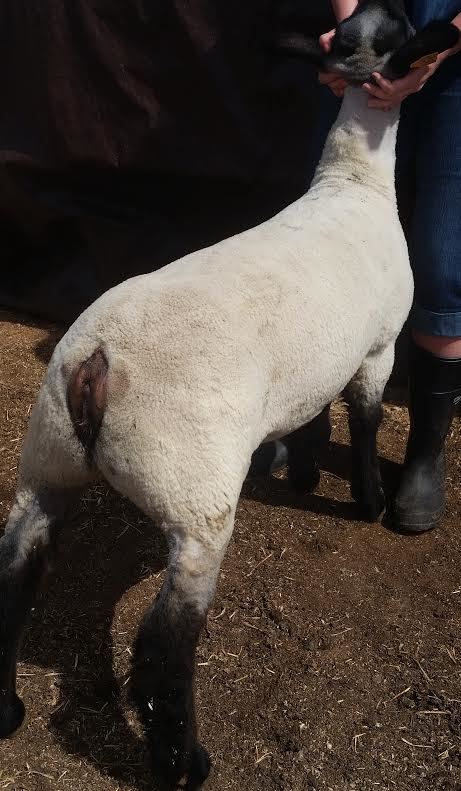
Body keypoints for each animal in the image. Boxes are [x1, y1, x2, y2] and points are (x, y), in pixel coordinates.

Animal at [0, 4, 458, 789]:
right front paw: (367, 500)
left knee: (9, 579)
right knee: (161, 650)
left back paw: (5, 713)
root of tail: (95, 362)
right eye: (399, 27)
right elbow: (366, 421)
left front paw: (300, 470)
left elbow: (311, 418)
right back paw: (185, 762)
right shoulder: (378, 349)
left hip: (45, 462)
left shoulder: (318, 364)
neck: (353, 183)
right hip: (195, 501)